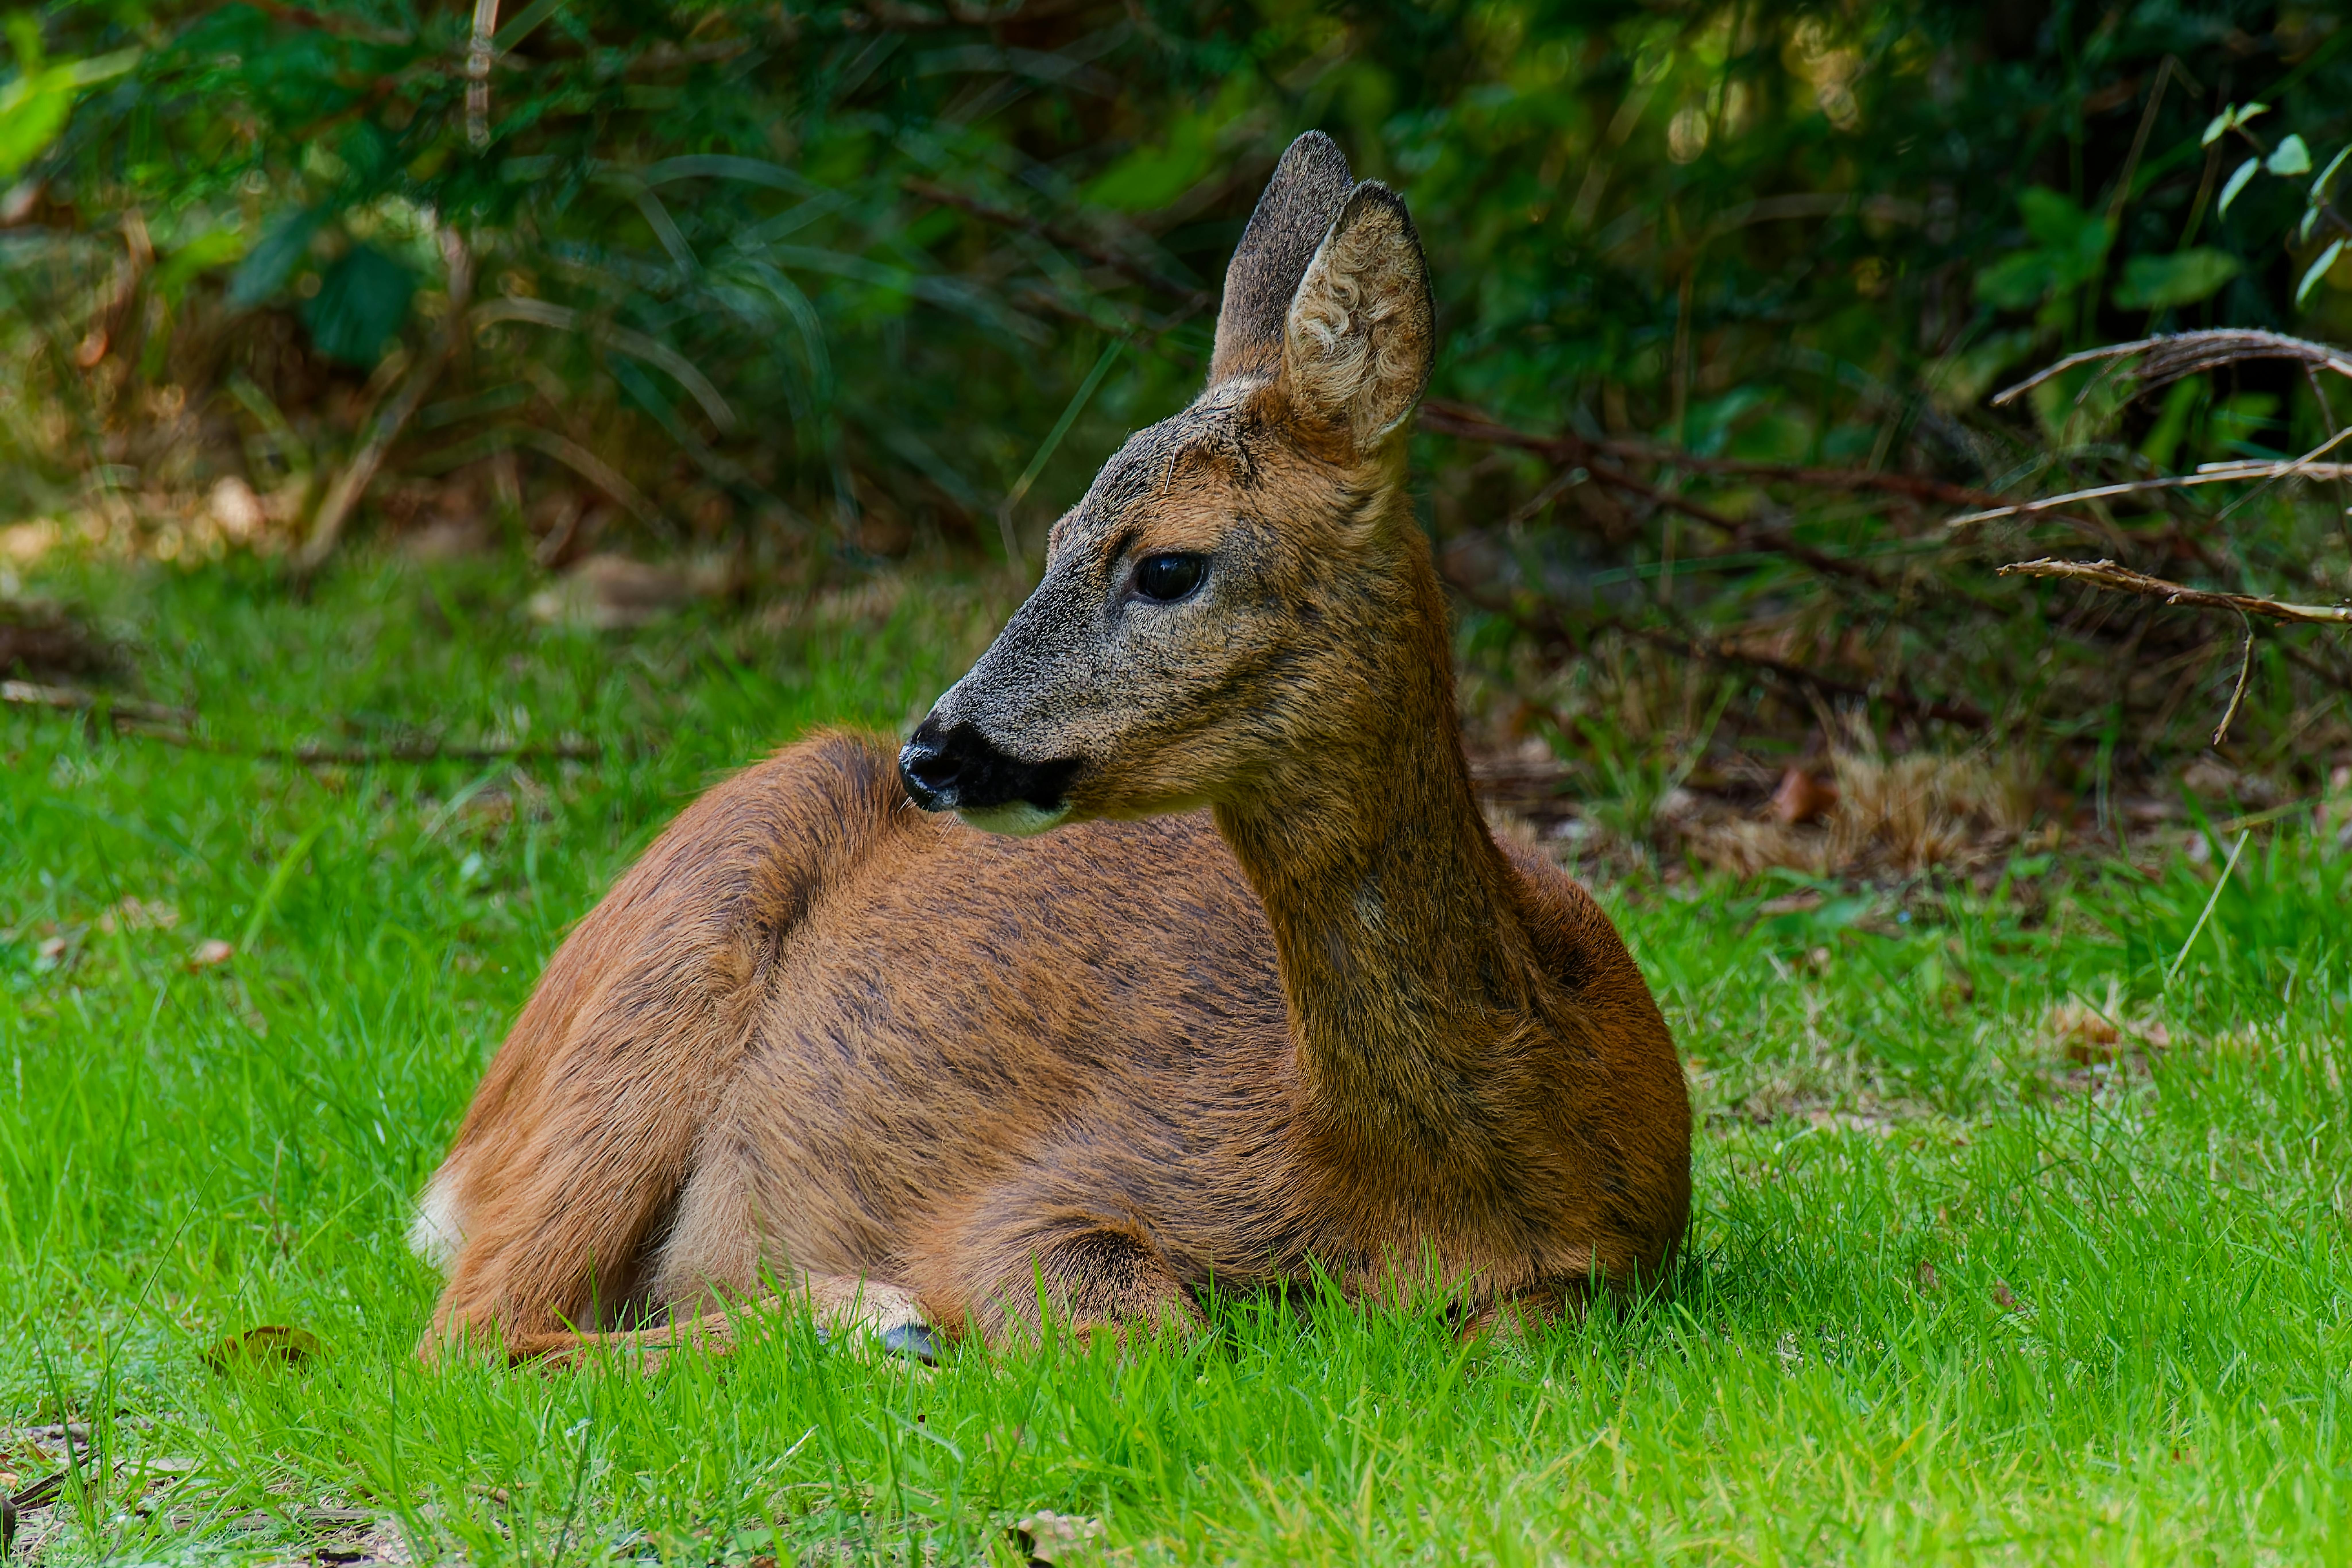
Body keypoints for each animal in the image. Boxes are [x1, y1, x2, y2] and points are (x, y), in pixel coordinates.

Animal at [412, 132, 1692, 1365]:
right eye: (1055, 535)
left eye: (1167, 565)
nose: (931, 752)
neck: (1408, 1182)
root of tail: (467, 1150)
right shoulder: (1030, 1192)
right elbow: (1141, 1336)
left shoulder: (1620, 1260)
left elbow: (1517, 1341)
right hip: (667, 966)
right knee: (476, 1332)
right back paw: (874, 1318)